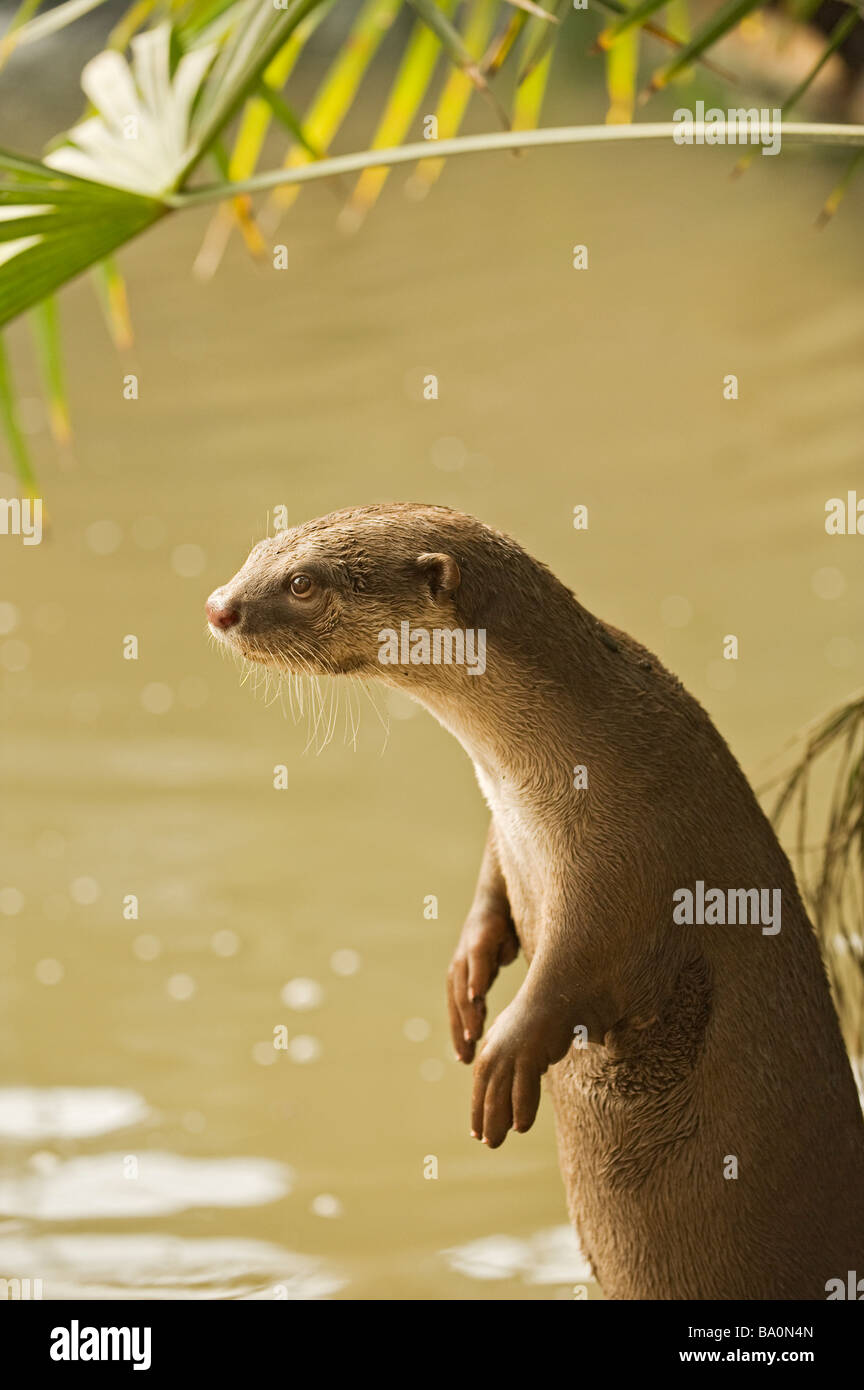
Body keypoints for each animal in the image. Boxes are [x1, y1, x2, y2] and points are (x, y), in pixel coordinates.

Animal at [206, 503, 864, 1300]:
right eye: (259, 550)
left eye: (303, 583)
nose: (218, 607)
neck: (562, 769)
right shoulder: (515, 835)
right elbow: (494, 887)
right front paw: (466, 977)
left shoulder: (632, 857)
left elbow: (579, 966)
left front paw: (503, 1056)